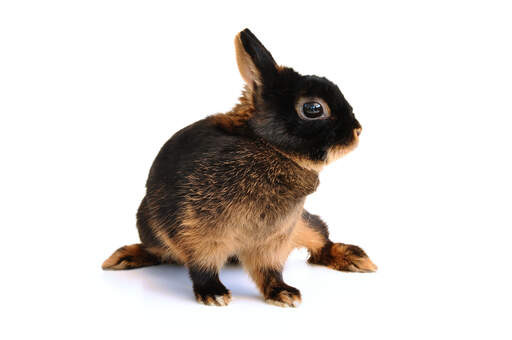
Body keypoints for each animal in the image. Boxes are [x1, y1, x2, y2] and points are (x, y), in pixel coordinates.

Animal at [103, 27, 376, 306]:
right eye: (313, 108)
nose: (358, 131)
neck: (269, 146)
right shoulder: (200, 232)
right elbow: (203, 266)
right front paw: (214, 294)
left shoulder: (275, 238)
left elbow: (268, 270)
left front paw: (284, 293)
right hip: (150, 229)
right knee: (155, 249)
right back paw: (123, 258)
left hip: (303, 224)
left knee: (321, 238)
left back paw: (356, 259)